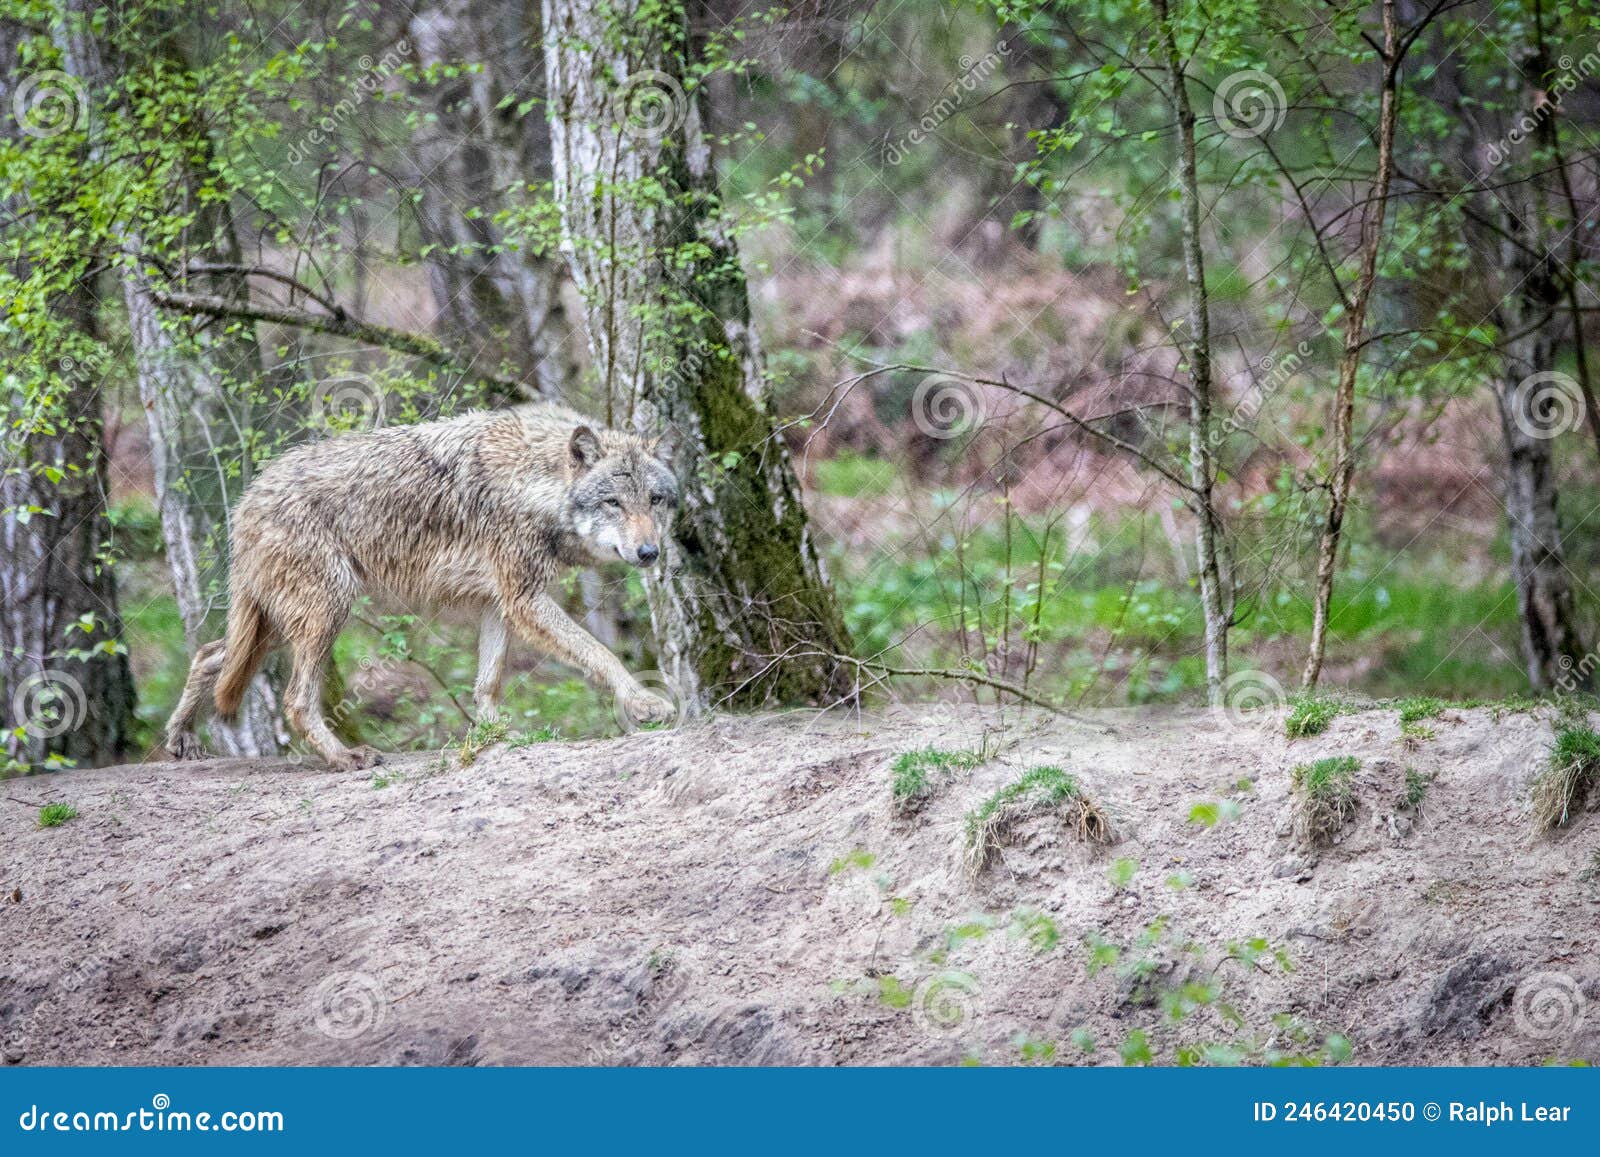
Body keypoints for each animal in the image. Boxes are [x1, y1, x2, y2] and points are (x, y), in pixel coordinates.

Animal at [163, 402, 678, 770]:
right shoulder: (525, 598)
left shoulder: (500, 602)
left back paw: (181, 737)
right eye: (613, 503)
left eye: (655, 500)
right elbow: (601, 654)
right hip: (325, 613)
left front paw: (496, 734)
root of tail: (248, 497)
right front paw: (644, 702)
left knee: (208, 654)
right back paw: (344, 758)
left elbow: (487, 681)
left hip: (275, 625)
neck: (534, 481)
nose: (649, 553)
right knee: (295, 700)